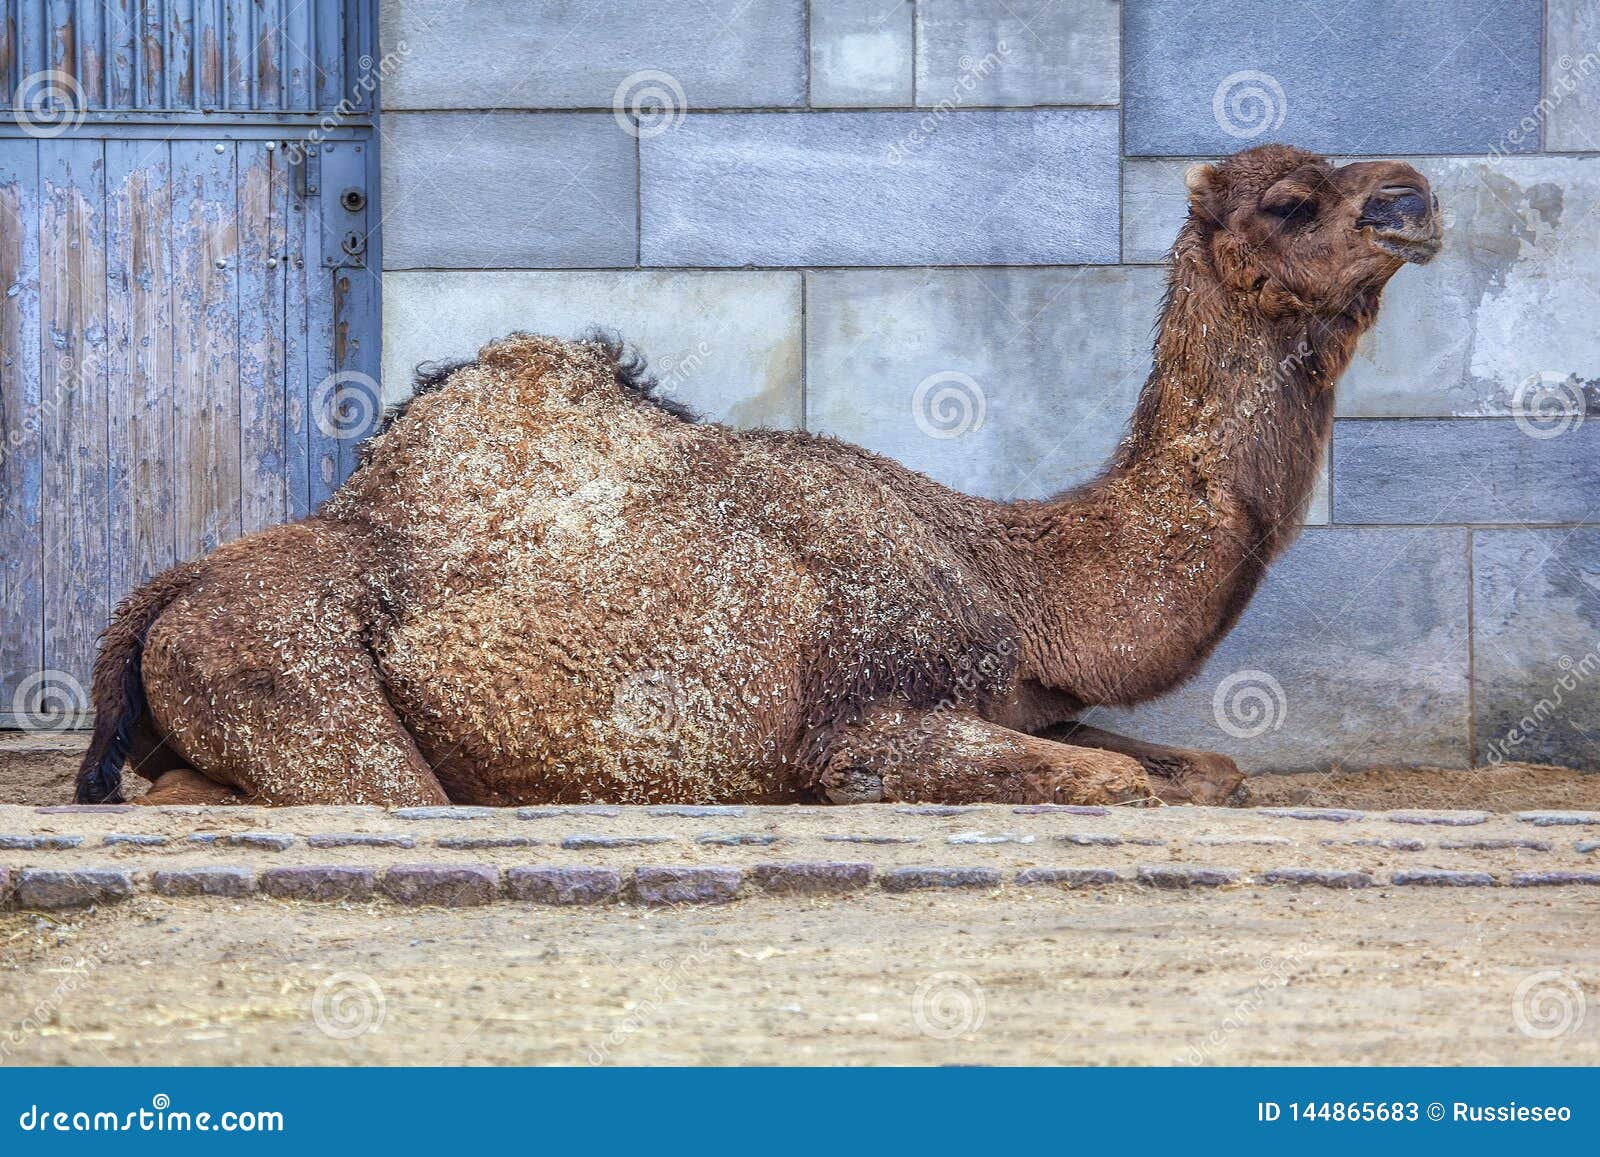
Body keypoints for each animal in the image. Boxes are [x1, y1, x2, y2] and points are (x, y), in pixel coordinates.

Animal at [75, 143, 1441, 809]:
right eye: (1287, 200)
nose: (1413, 199)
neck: (1017, 576)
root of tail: (160, 596)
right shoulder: (866, 711)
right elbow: (1116, 783)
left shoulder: (1018, 697)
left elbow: (1210, 769)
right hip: (295, 678)